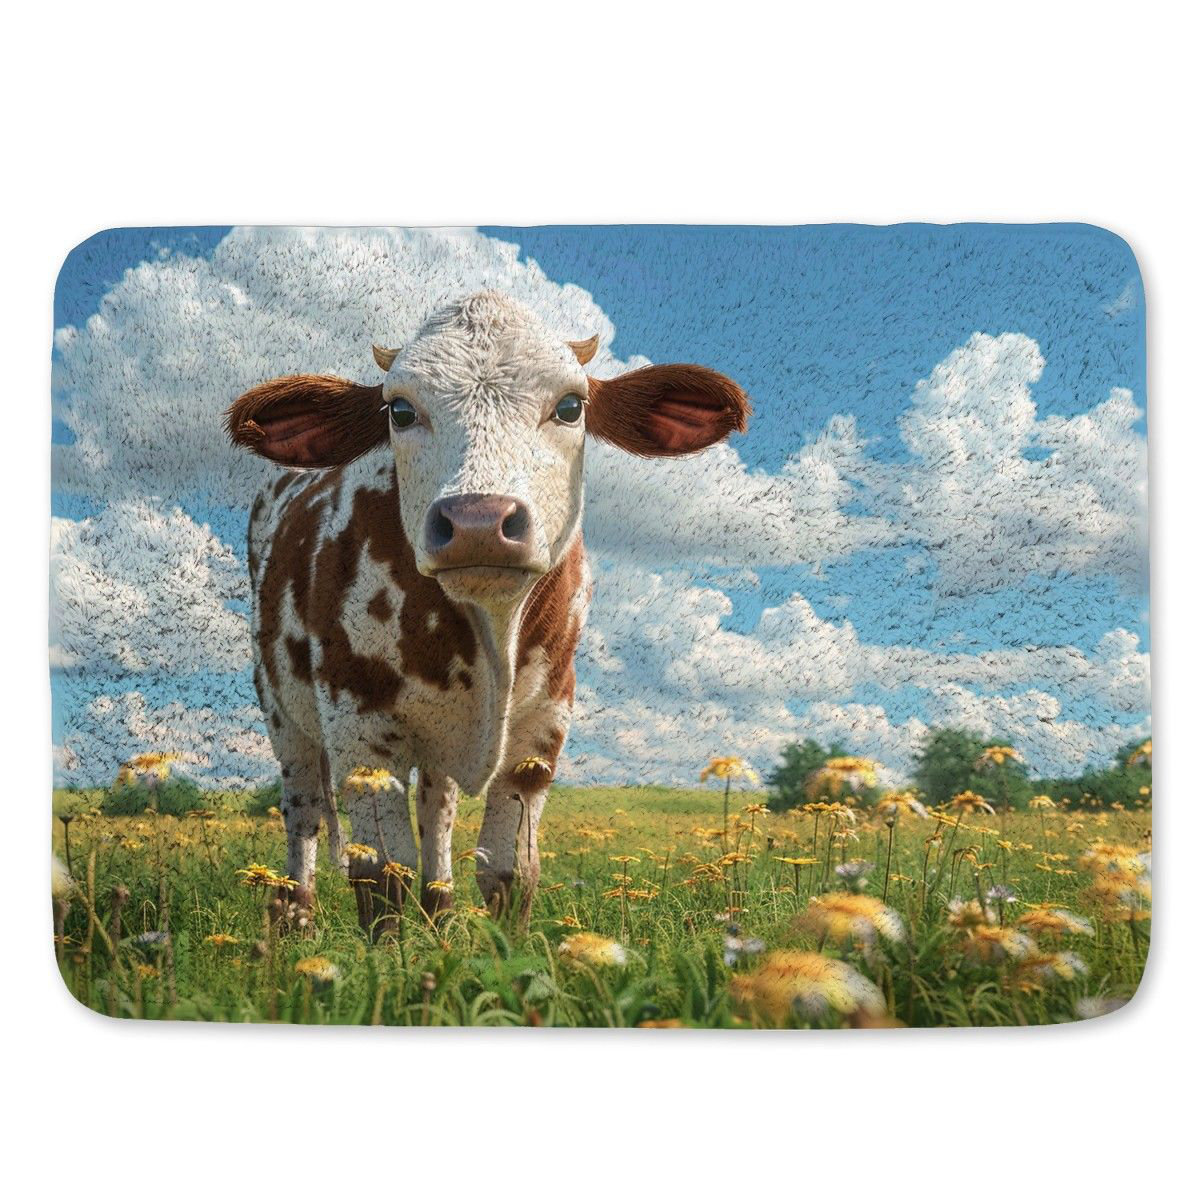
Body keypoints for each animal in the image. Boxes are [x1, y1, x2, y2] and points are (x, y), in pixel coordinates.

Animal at [225, 291, 749, 933]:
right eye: (400, 410)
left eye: (570, 406)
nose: (478, 521)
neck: (487, 632)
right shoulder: (358, 728)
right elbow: (382, 878)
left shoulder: (543, 725)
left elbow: (510, 869)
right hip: (281, 710)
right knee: (302, 811)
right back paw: (294, 916)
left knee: (438, 810)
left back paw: (440, 913)